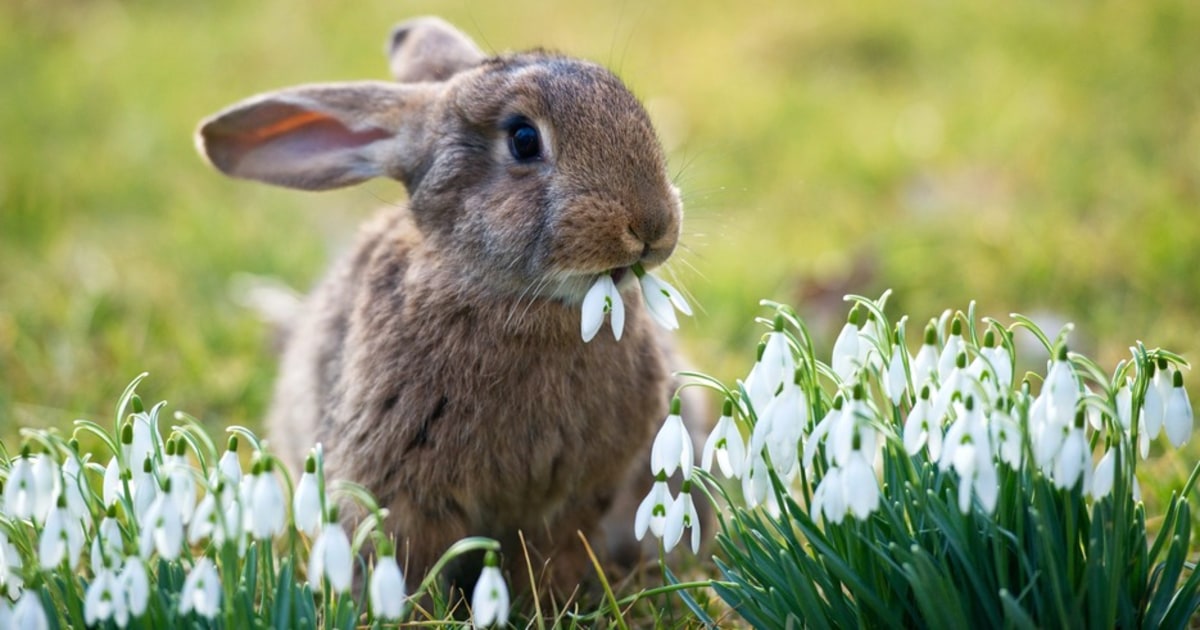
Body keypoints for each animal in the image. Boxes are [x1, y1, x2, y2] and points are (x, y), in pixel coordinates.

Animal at [196, 16, 705, 599]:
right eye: (523, 139)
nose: (653, 225)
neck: (512, 298)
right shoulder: (400, 491)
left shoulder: (580, 496)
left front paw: (551, 602)